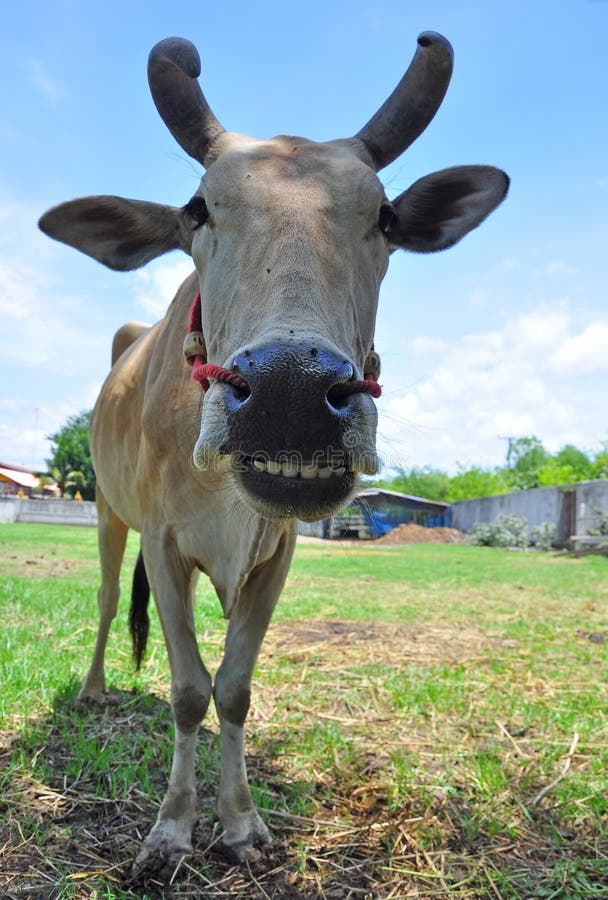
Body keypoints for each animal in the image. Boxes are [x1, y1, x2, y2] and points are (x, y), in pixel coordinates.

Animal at [39, 32, 508, 874]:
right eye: (198, 210)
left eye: (385, 215)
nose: (291, 394)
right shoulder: (163, 545)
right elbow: (188, 691)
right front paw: (171, 830)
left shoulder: (275, 554)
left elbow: (232, 689)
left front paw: (238, 824)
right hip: (107, 517)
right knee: (104, 602)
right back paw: (92, 690)